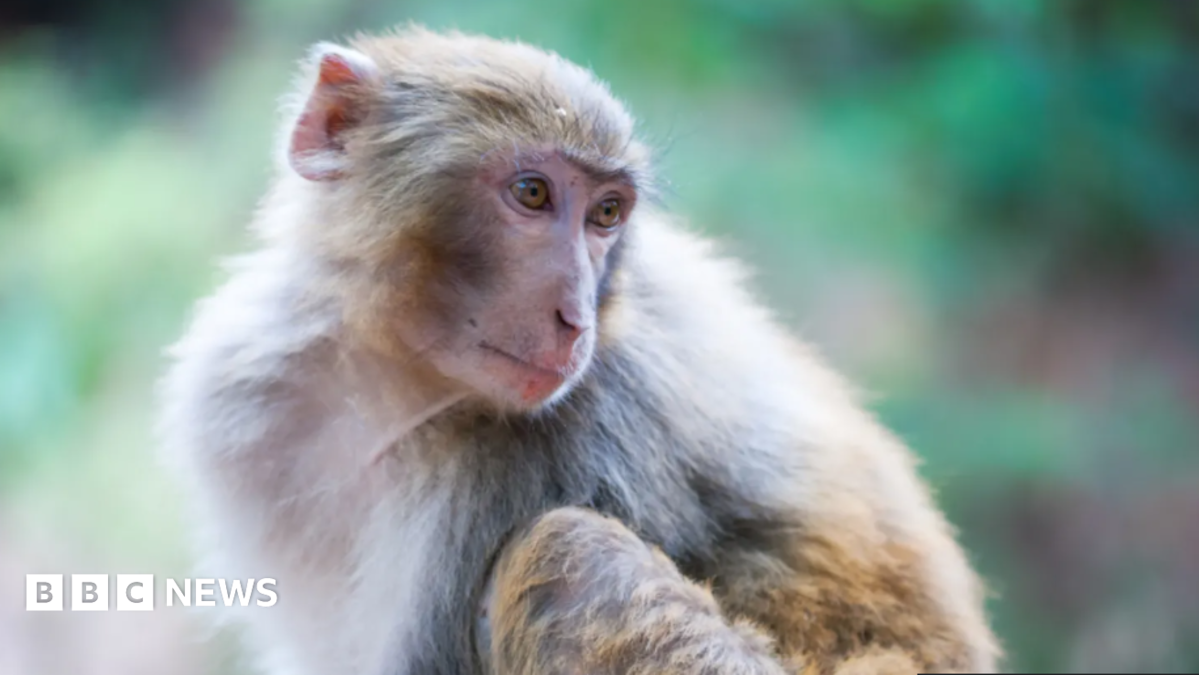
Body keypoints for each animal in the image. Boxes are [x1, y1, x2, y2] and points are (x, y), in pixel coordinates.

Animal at [159, 26, 1000, 675]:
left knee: (572, 560)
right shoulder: (242, 399)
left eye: (605, 214)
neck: (391, 379)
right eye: (532, 194)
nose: (575, 317)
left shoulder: (560, 446)